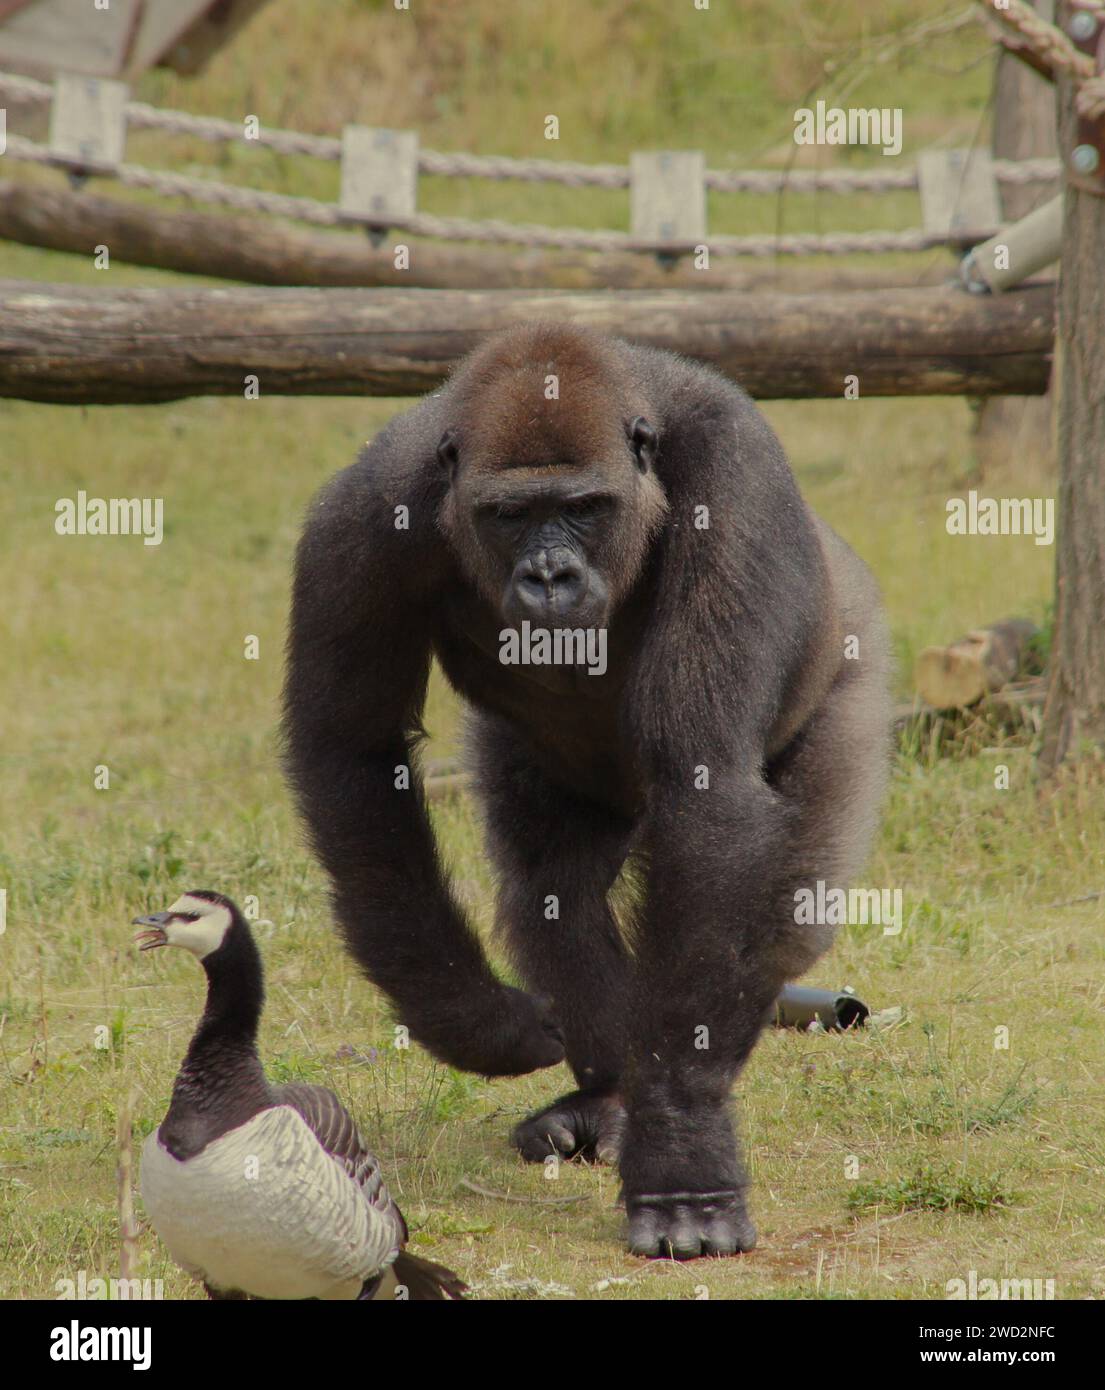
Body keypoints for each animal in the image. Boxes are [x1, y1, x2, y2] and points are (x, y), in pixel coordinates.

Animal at [283, 322, 891, 1258]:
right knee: (549, 885)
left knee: (787, 914)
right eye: (509, 515)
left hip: (852, 657)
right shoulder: (363, 514)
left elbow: (706, 784)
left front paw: (682, 1149)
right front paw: (474, 1018)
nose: (549, 579)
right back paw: (606, 1098)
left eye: (585, 507)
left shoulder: (737, 482)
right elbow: (352, 754)